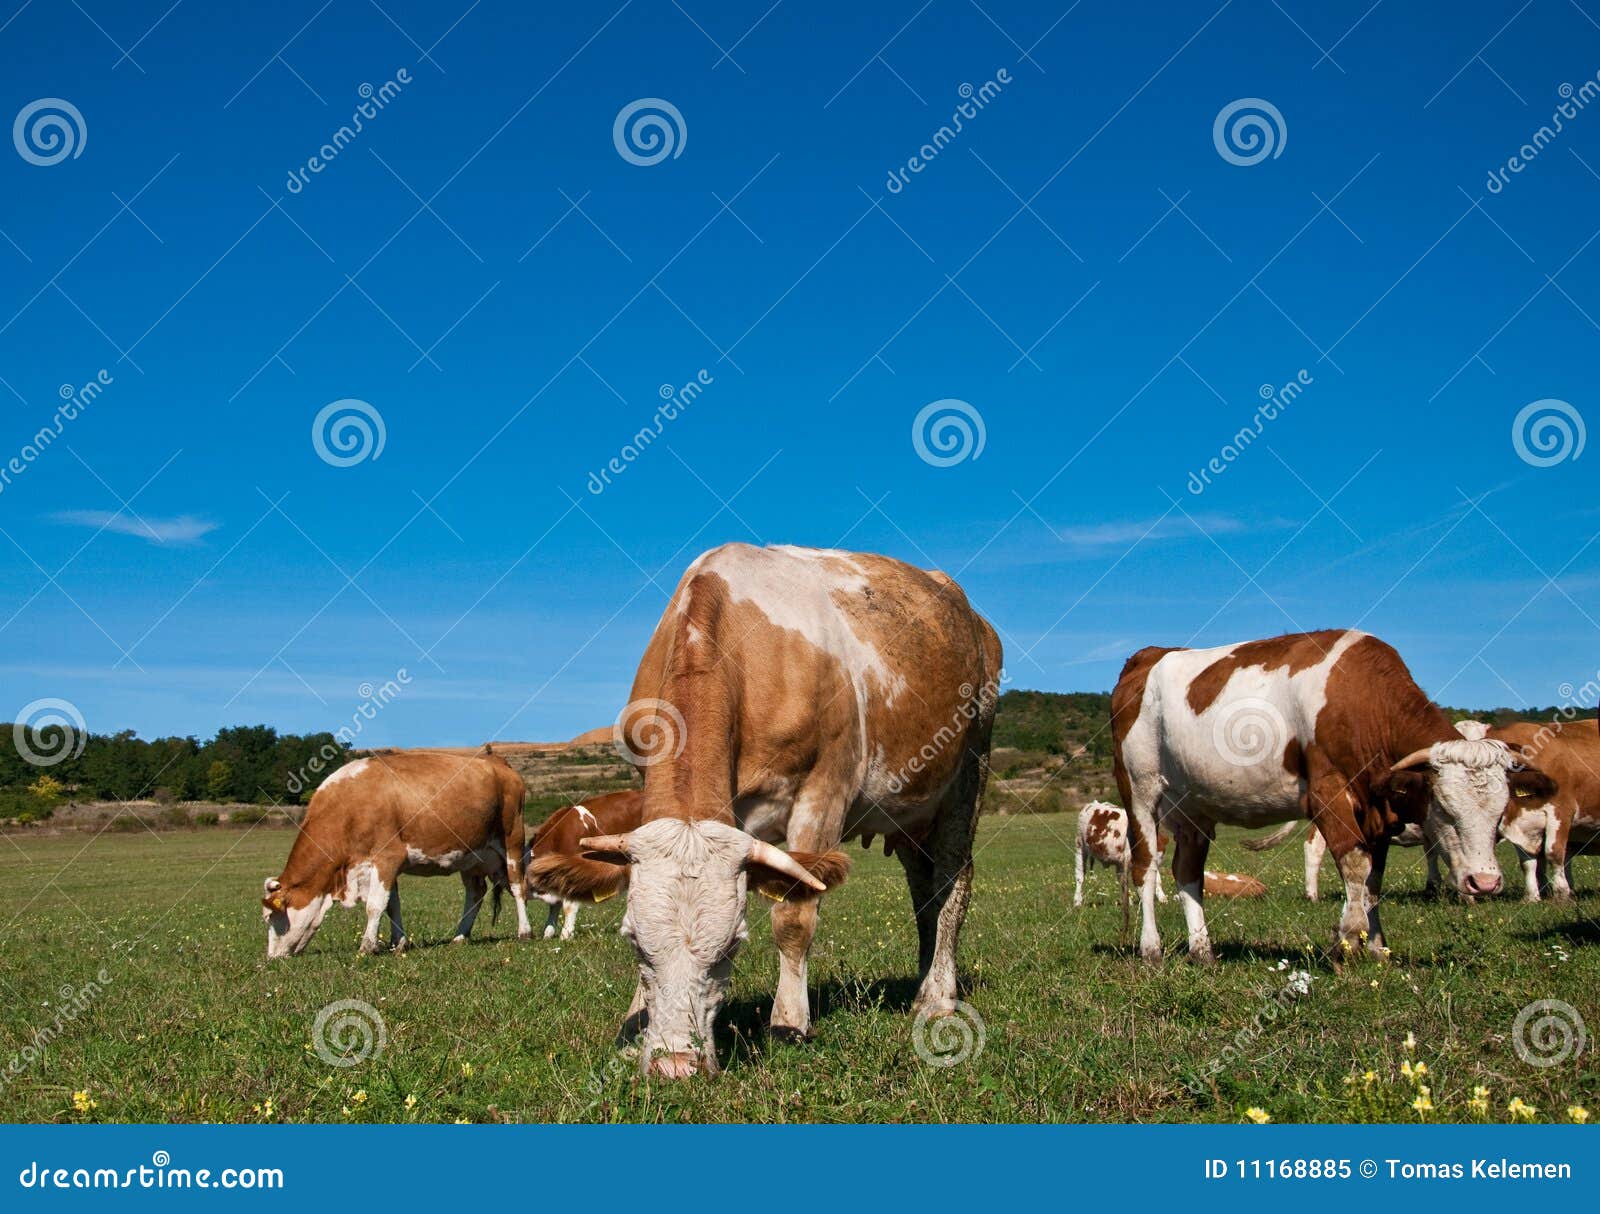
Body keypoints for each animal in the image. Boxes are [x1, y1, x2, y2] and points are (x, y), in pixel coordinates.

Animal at [261, 750, 531, 958]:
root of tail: (497, 761)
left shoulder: (387, 858)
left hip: (512, 840)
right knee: (475, 893)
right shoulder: (382, 867)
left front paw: (367, 946)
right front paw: (397, 943)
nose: (272, 958)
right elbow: (392, 905)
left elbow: (375, 905)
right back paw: (460, 936)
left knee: (518, 886)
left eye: (271, 917)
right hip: (471, 856)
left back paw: (524, 931)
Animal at [537, 543, 1002, 1077]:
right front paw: (635, 1027)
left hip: (968, 774)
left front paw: (790, 1021)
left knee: (951, 883)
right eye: (633, 942)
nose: (676, 1065)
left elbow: (794, 917)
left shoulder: (823, 794)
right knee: (923, 889)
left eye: (732, 947)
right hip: (909, 813)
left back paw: (938, 996)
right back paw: (923, 980)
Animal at [1110, 629, 1557, 962]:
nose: (1486, 882)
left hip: (1194, 807)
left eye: (1500, 813)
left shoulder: (1378, 812)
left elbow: (1374, 879)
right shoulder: (1328, 793)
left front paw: (1376, 947)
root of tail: (1150, 655)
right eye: (1444, 810)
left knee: (1188, 872)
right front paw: (1347, 940)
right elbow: (1356, 866)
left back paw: (1202, 951)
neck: (1363, 702)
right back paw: (1151, 949)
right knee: (1146, 866)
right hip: (1140, 792)